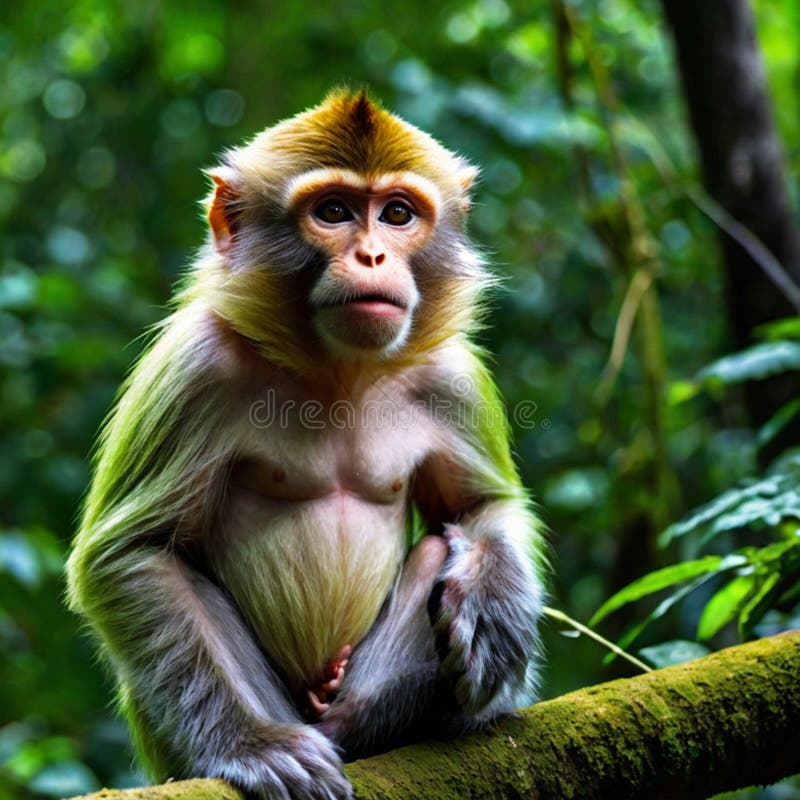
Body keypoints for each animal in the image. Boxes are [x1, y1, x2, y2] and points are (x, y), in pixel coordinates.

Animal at [66, 89, 545, 800]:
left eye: (397, 214)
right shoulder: (194, 368)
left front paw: (492, 605)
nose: (373, 256)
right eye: (334, 212)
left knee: (441, 548)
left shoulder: (450, 376)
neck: (337, 369)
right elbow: (128, 551)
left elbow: (482, 505)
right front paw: (248, 745)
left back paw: (382, 717)